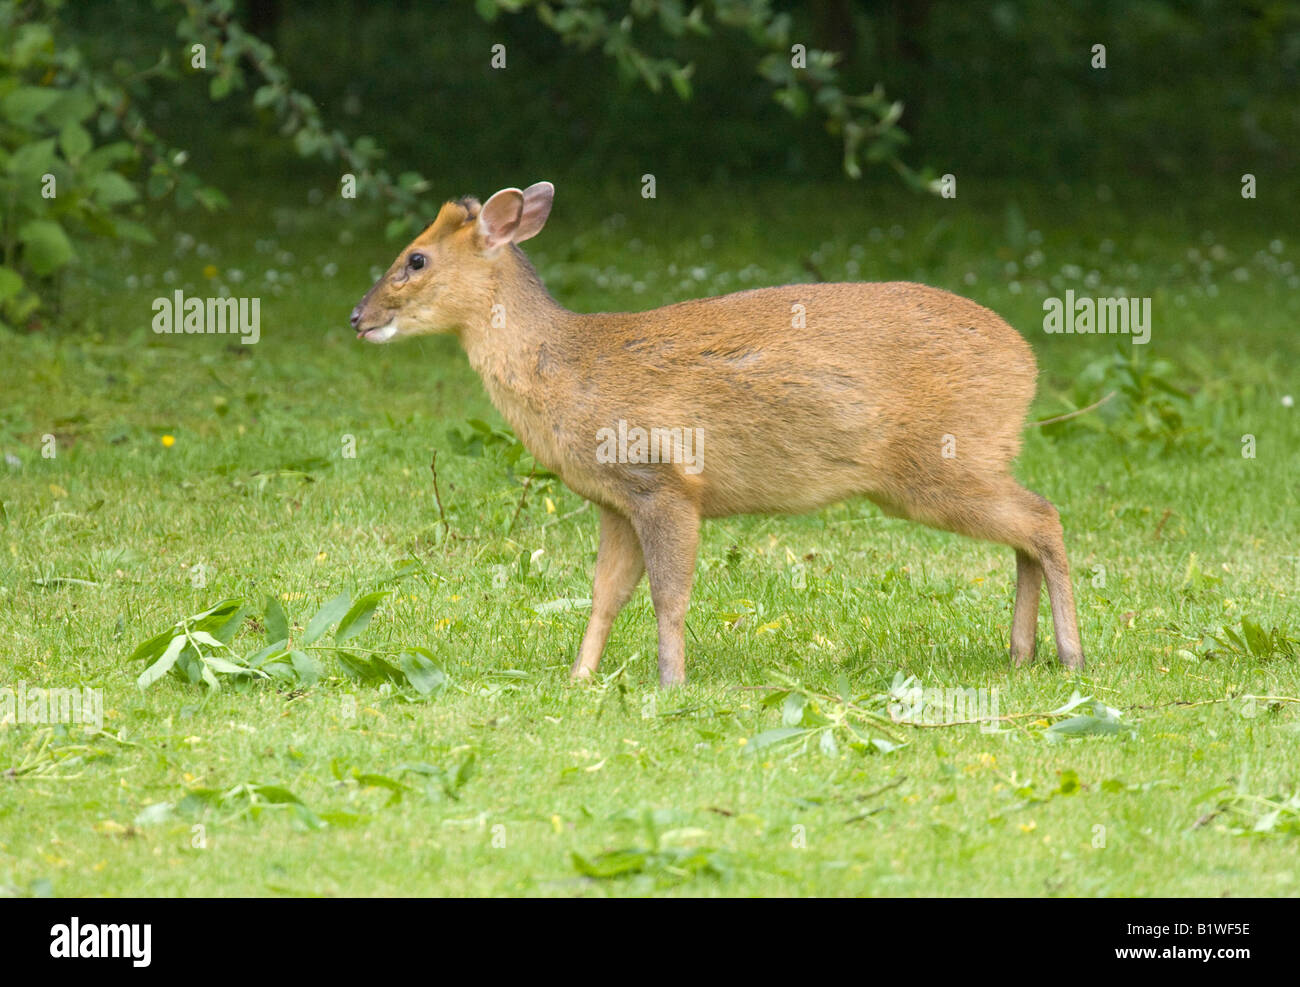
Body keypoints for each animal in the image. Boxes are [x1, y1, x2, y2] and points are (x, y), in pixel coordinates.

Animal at [350, 181, 1085, 687]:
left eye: (415, 259)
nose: (358, 316)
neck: (568, 371)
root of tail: (1027, 363)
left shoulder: (665, 482)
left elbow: (668, 595)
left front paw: (670, 681)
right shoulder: (617, 501)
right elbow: (605, 595)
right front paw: (581, 677)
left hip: (939, 464)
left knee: (1043, 517)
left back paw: (1071, 654)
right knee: (1027, 529)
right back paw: (1022, 653)